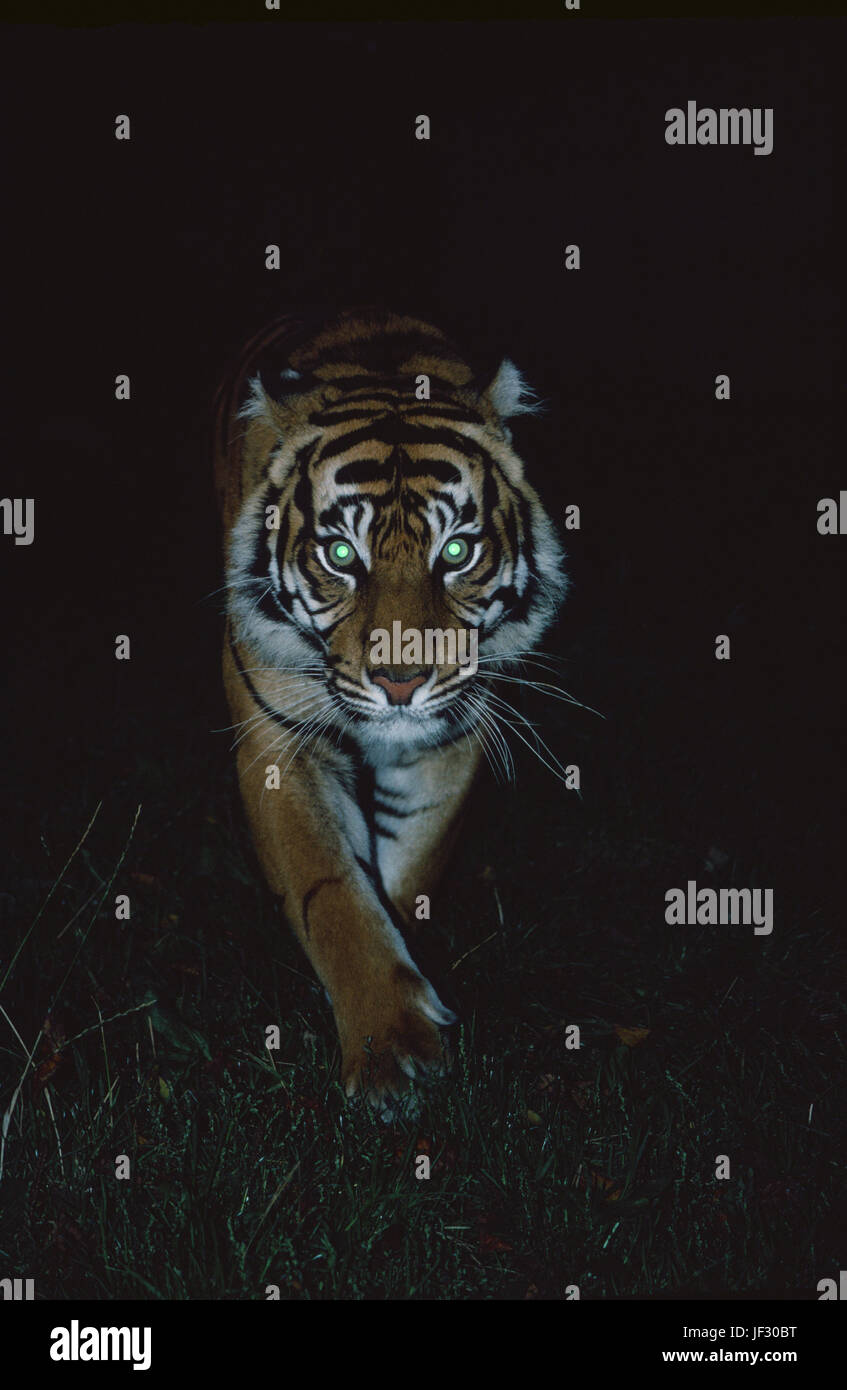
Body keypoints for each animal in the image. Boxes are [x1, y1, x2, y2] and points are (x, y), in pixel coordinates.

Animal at [213, 307, 568, 1113]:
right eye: (342, 556)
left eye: (458, 552)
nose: (401, 683)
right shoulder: (281, 743)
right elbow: (333, 892)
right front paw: (390, 1053)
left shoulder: (450, 736)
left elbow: (408, 870)